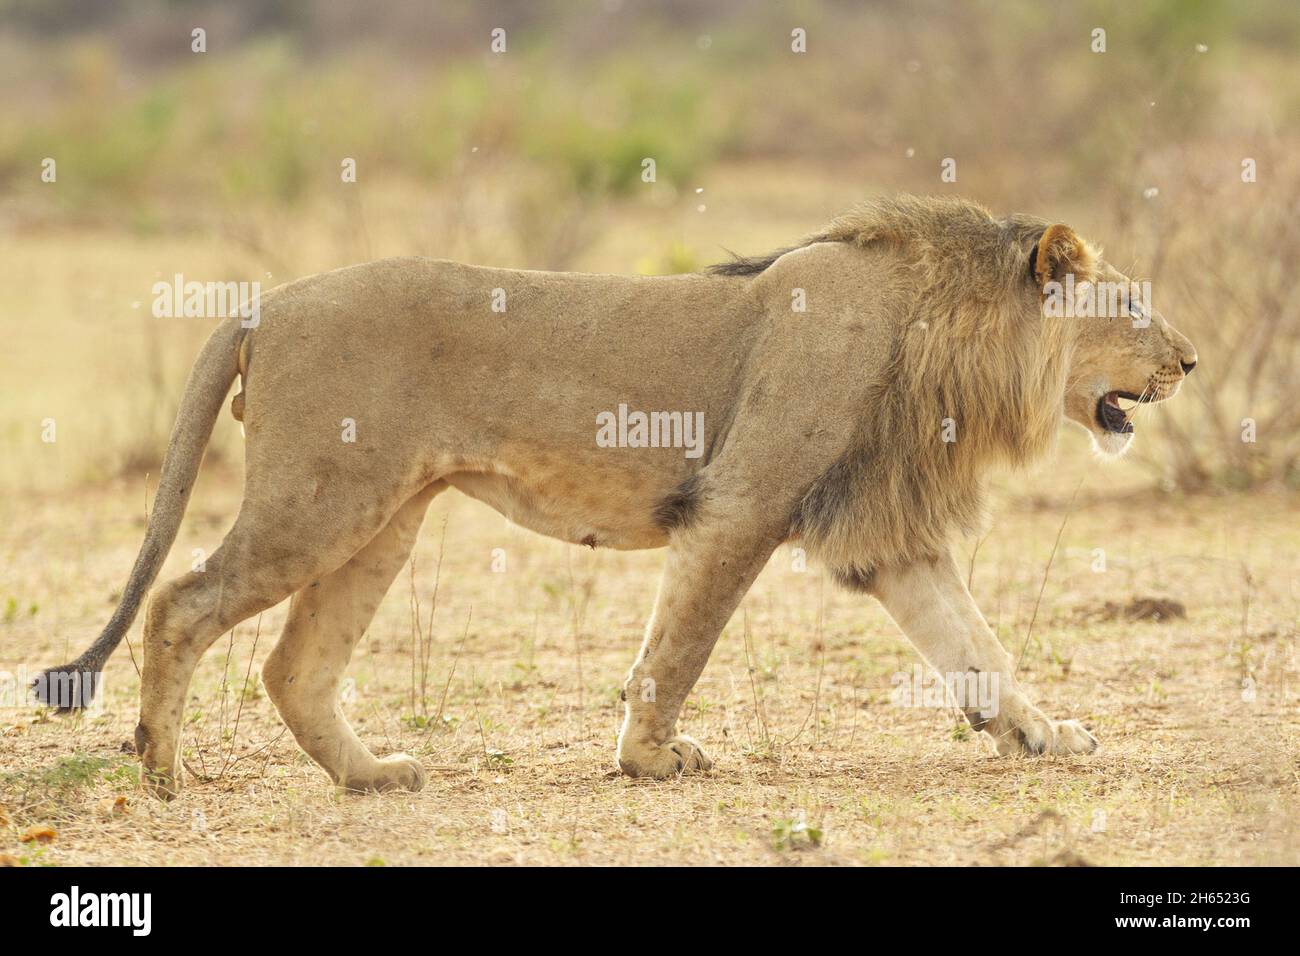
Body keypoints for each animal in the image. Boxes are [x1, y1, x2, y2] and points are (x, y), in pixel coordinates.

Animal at [35, 195, 1197, 797]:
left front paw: (1045, 737)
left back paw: (373, 774)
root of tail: (263, 305)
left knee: (293, 665)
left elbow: (977, 647)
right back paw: (162, 769)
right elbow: (677, 647)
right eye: (1133, 307)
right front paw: (650, 757)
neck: (942, 337)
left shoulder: (886, 535)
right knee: (179, 603)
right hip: (317, 501)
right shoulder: (742, 502)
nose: (1187, 361)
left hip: (381, 516)